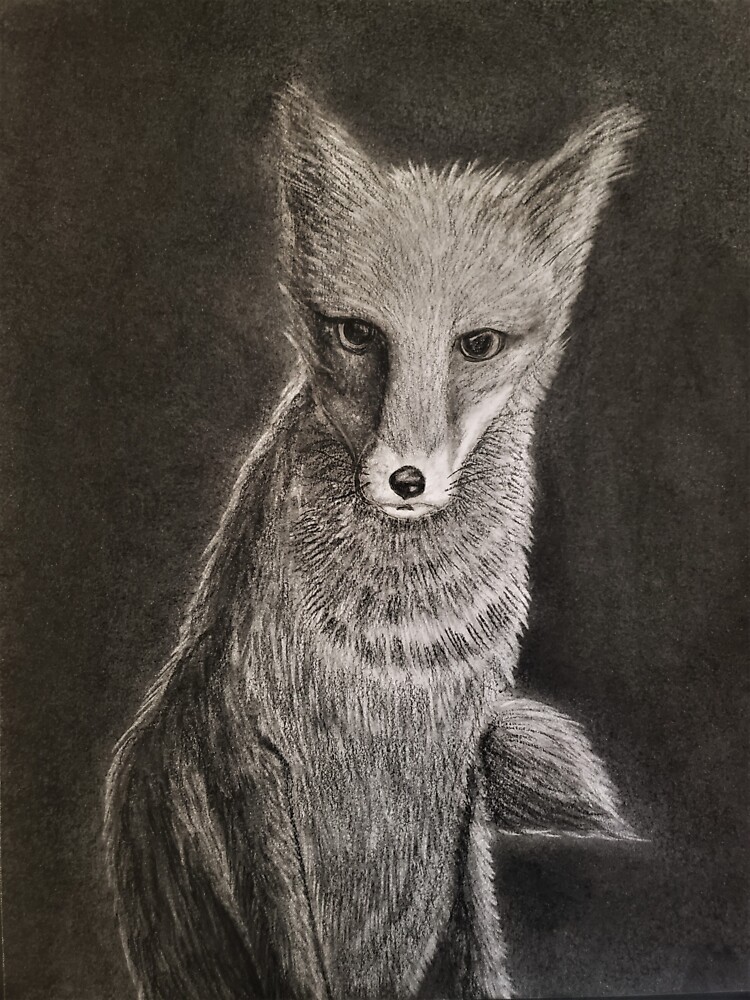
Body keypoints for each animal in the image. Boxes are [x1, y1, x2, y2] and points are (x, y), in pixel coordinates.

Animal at [105, 83, 642, 1000]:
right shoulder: (253, 766)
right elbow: (298, 962)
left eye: (479, 344)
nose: (406, 481)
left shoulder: (459, 773)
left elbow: (476, 940)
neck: (395, 658)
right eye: (358, 333)